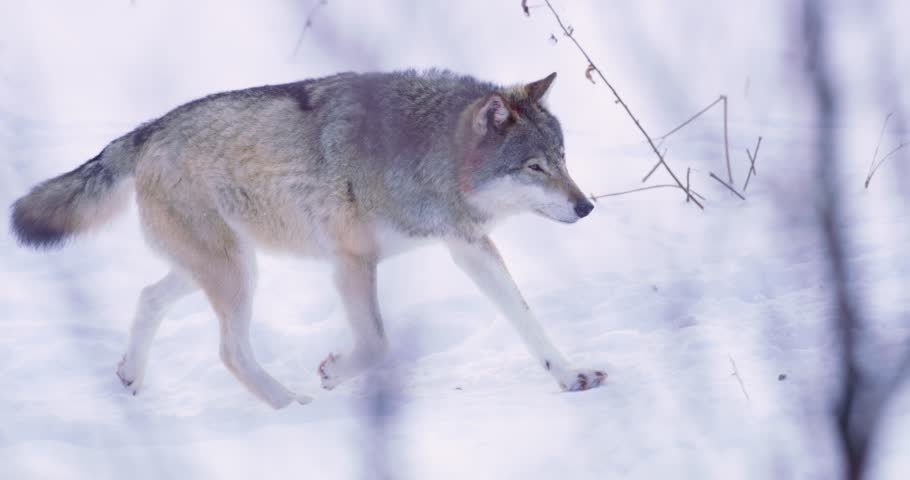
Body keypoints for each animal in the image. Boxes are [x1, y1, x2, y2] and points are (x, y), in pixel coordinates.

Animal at [10, 70, 604, 408]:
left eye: (562, 159)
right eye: (533, 167)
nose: (587, 207)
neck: (422, 152)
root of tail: (148, 129)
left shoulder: (466, 246)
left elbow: (524, 318)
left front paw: (570, 375)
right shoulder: (351, 260)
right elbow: (377, 344)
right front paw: (333, 374)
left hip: (222, 267)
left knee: (147, 298)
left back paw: (131, 377)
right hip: (235, 274)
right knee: (229, 350)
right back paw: (290, 406)